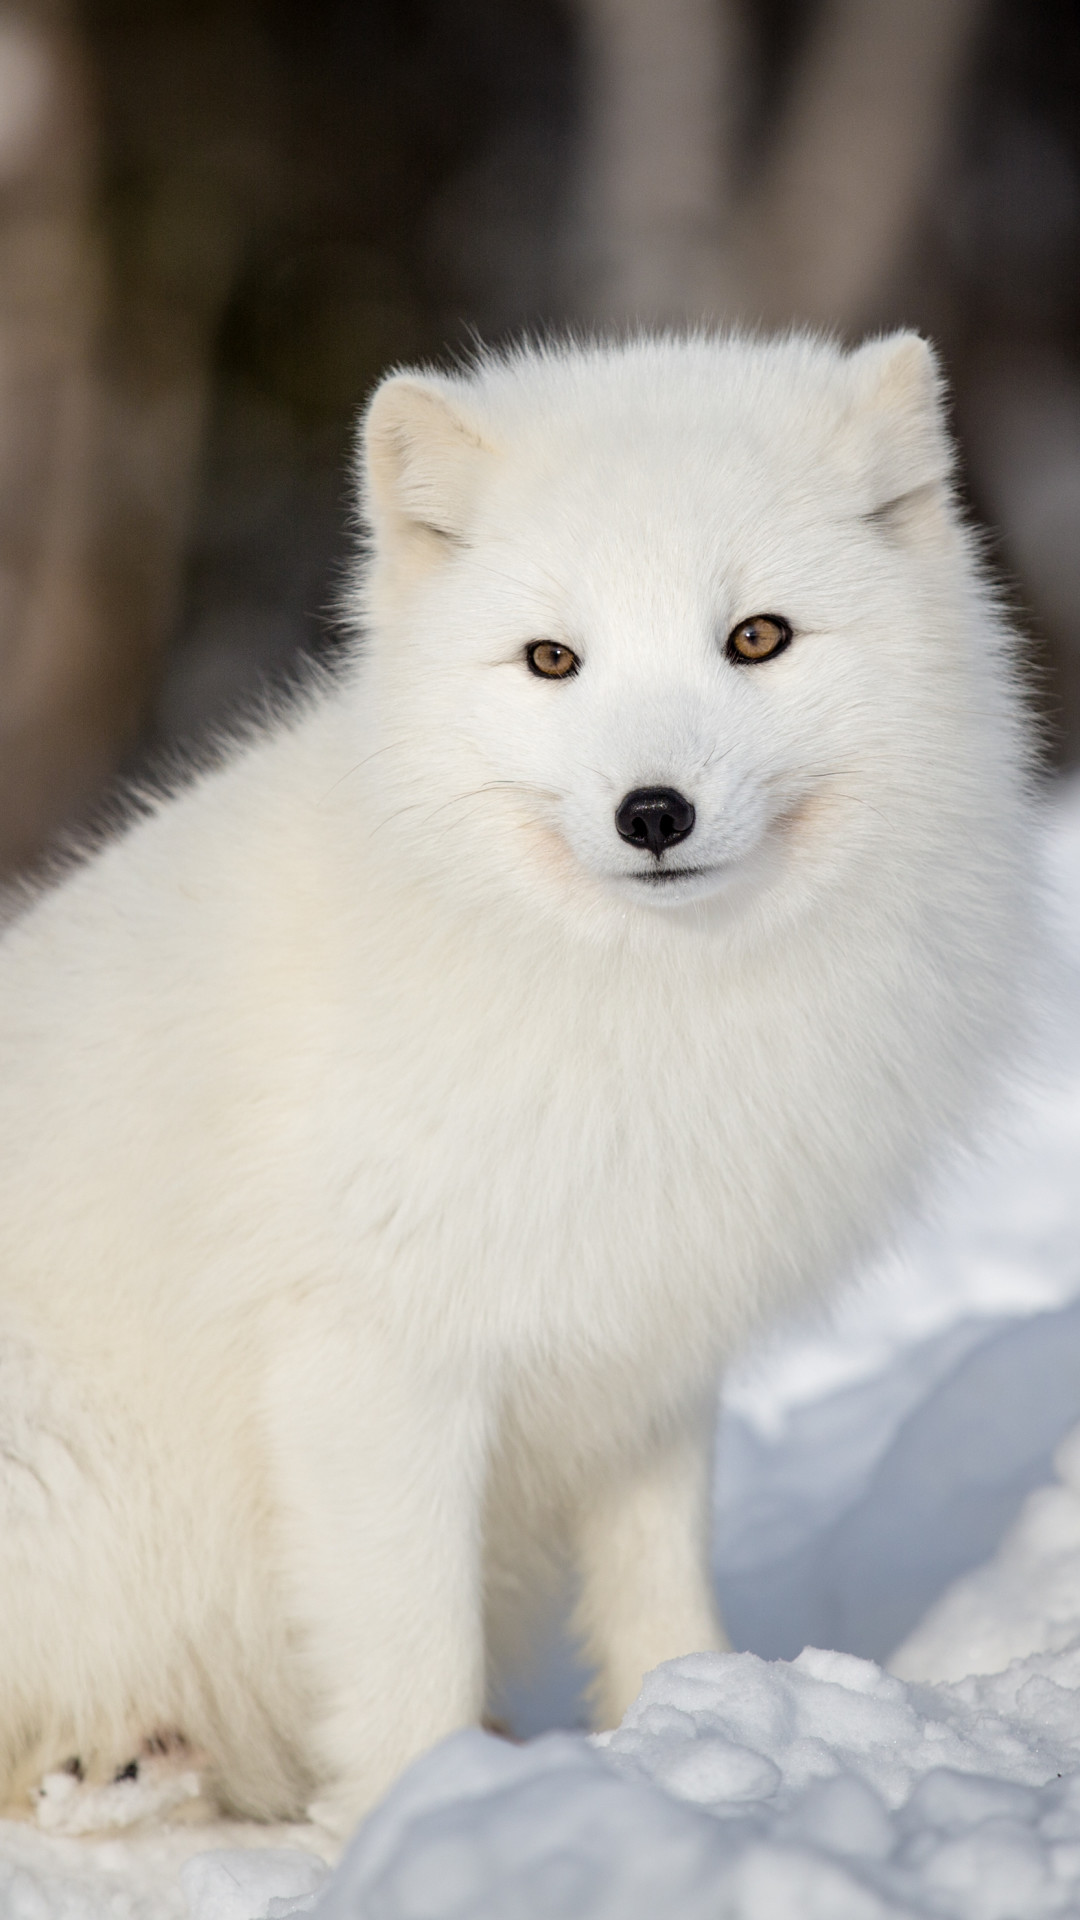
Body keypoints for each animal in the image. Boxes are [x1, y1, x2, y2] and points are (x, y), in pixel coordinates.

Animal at [0, 331, 1032, 1832]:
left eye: (758, 637)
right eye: (553, 659)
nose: (653, 814)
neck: (639, 1013)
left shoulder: (648, 1348)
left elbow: (660, 1585)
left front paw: (695, 1727)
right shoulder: (373, 1363)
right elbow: (405, 1648)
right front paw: (421, 1811)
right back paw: (120, 1769)